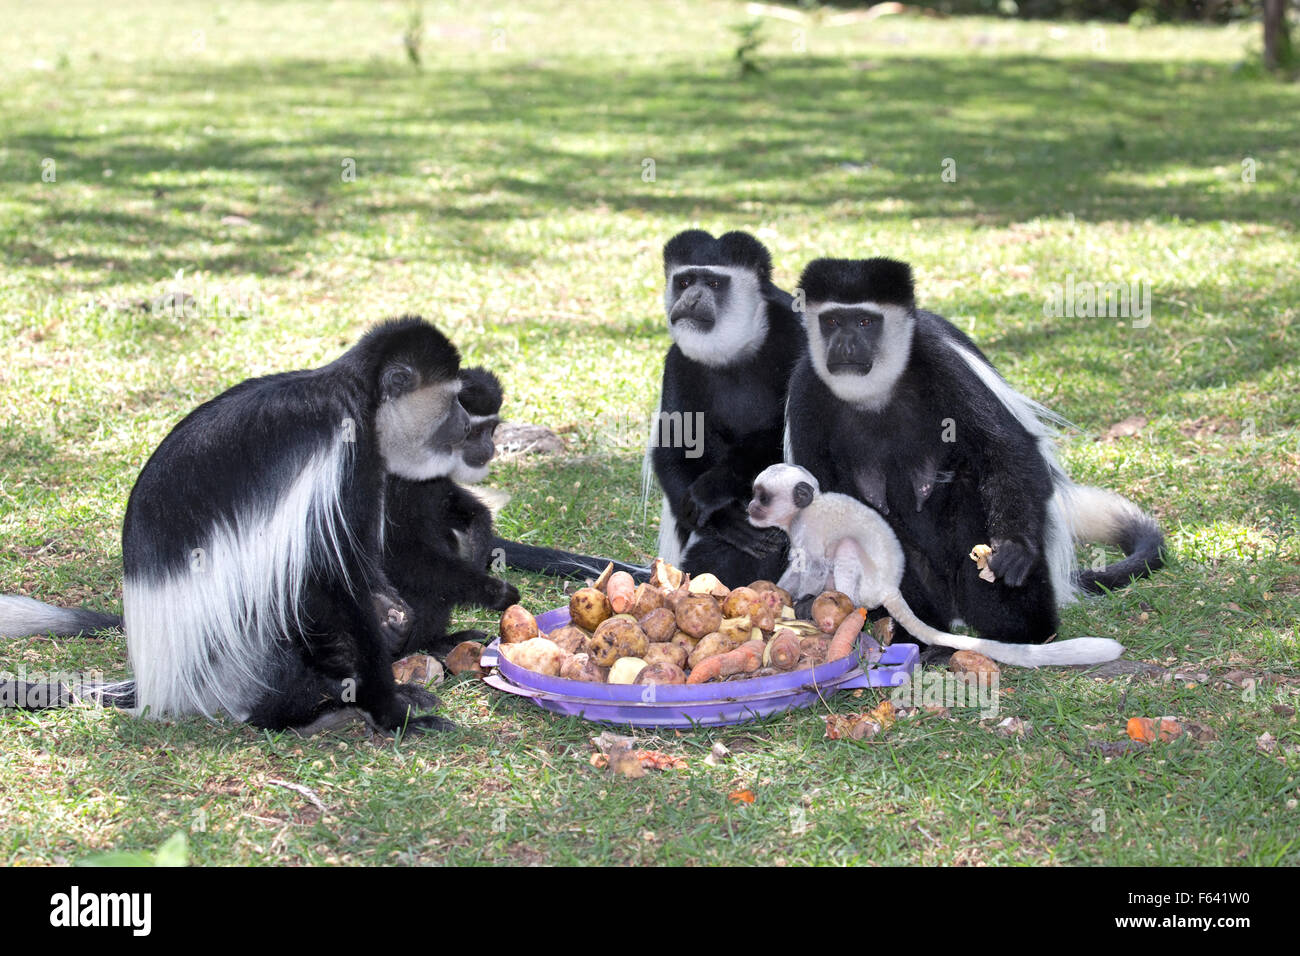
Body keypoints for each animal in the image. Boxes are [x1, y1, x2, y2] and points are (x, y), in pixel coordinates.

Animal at [0, 316, 477, 735]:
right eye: (454, 398)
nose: (466, 423)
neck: (355, 398)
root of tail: (161, 680)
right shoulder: (340, 453)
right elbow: (331, 581)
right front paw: (391, 714)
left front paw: (402, 629)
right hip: (233, 658)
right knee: (283, 604)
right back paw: (301, 715)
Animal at [747, 464, 1125, 666]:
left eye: (762, 497)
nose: (750, 508)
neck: (804, 511)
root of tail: (888, 586)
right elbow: (797, 568)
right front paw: (777, 594)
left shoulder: (808, 528)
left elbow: (811, 566)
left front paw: (797, 602)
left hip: (866, 583)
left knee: (846, 550)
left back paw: (842, 603)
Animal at [784, 257, 1164, 648]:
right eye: (831, 322)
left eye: (864, 322)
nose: (844, 345)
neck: (873, 395)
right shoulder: (805, 388)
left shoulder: (942, 358)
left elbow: (1008, 451)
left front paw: (1013, 548)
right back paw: (918, 636)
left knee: (975, 480)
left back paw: (1024, 631)